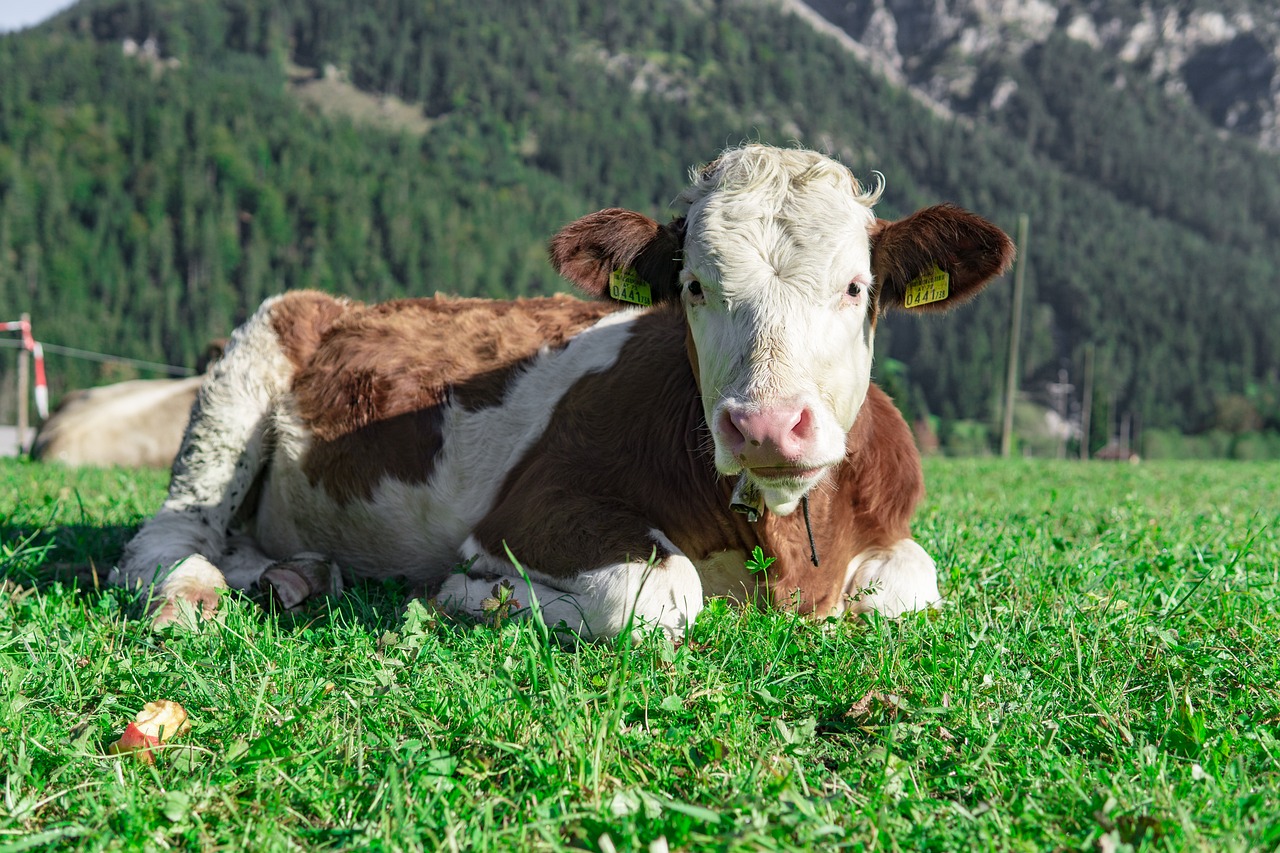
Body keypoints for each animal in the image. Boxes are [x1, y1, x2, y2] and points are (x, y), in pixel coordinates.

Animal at [114, 145, 1013, 639]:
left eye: (856, 287)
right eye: (693, 286)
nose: (764, 425)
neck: (782, 543)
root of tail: (346, 303)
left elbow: (907, 586)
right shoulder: (531, 509)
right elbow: (659, 594)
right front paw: (476, 594)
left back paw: (295, 577)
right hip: (244, 370)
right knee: (167, 536)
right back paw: (190, 594)